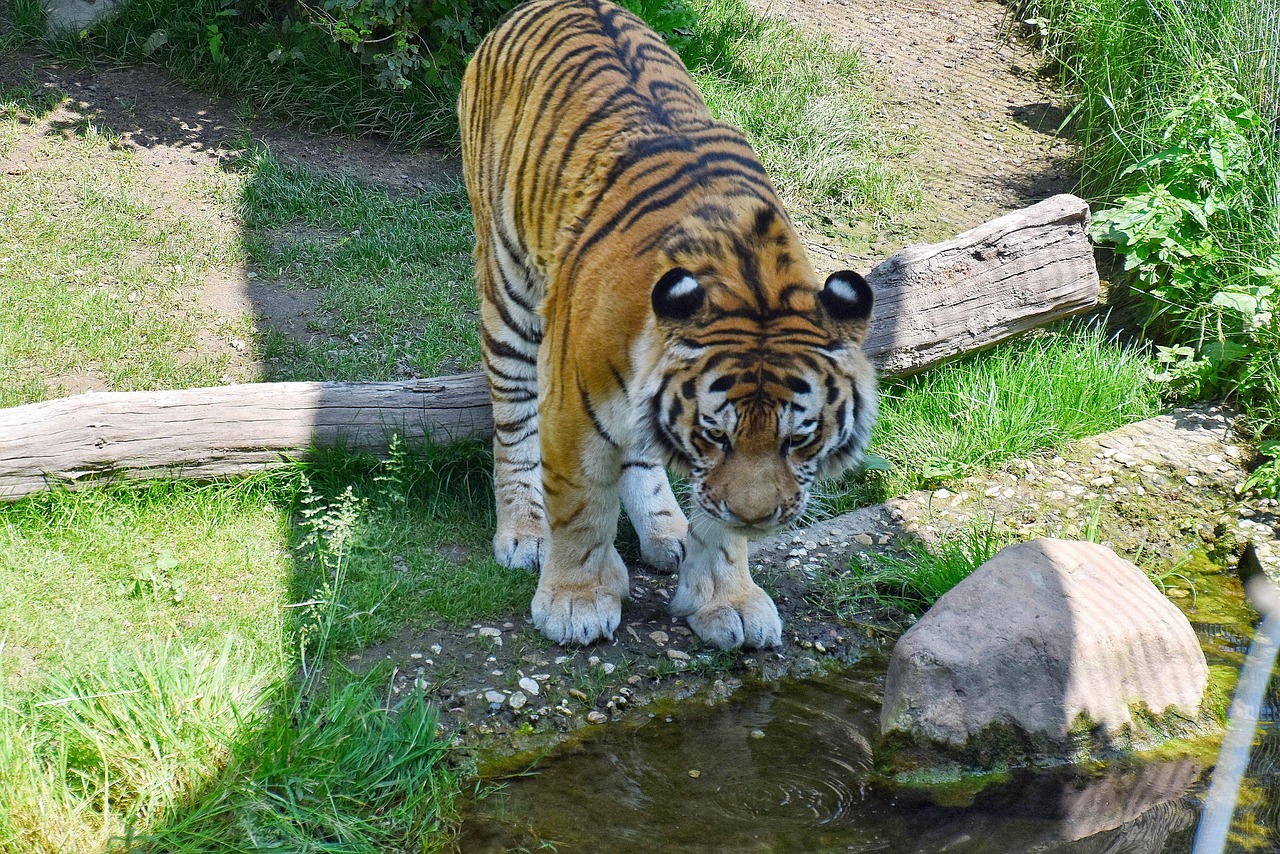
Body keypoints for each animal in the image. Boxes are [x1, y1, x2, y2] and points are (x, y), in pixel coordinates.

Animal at [458, 0, 878, 650]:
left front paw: (727, 600)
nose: (759, 518)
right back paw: (524, 531)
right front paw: (577, 602)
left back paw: (665, 530)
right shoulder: (570, 412)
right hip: (507, 286)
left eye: (798, 438)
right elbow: (581, 511)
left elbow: (720, 527)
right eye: (714, 434)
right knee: (512, 420)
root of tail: (547, 4)